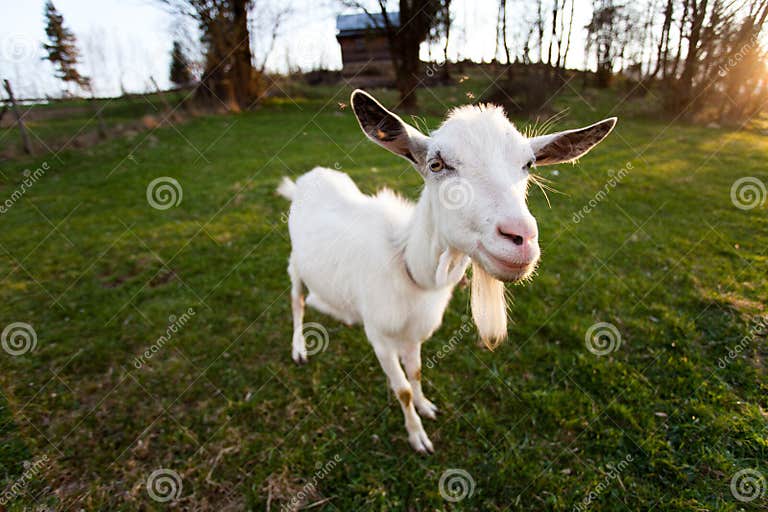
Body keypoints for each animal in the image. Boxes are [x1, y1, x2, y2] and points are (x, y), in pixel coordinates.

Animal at [277, 90, 616, 453]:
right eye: (436, 164)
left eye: (529, 164)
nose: (520, 238)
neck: (409, 267)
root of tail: (306, 179)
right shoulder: (380, 337)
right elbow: (402, 389)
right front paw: (418, 437)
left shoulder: (415, 333)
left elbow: (416, 374)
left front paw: (426, 406)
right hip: (294, 263)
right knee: (297, 301)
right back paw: (299, 348)